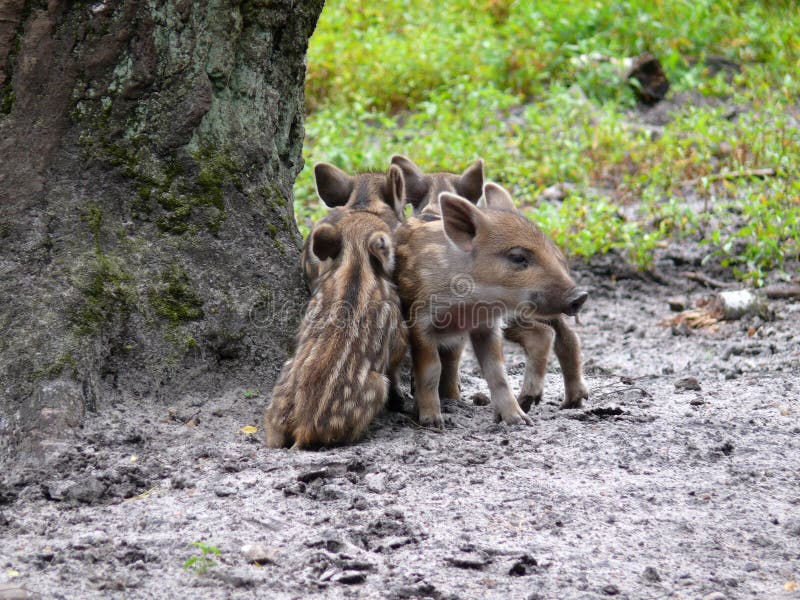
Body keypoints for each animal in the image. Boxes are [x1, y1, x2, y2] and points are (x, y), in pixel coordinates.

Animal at [264, 209, 408, 448]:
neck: (356, 261)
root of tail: (304, 429)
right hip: (377, 387)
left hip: (283, 379)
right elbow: (397, 359)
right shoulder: (398, 329)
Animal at [391, 155, 588, 411]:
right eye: (518, 258)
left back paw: (528, 400)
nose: (580, 297)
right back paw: (571, 400)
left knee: (544, 334)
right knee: (566, 336)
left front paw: (451, 399)